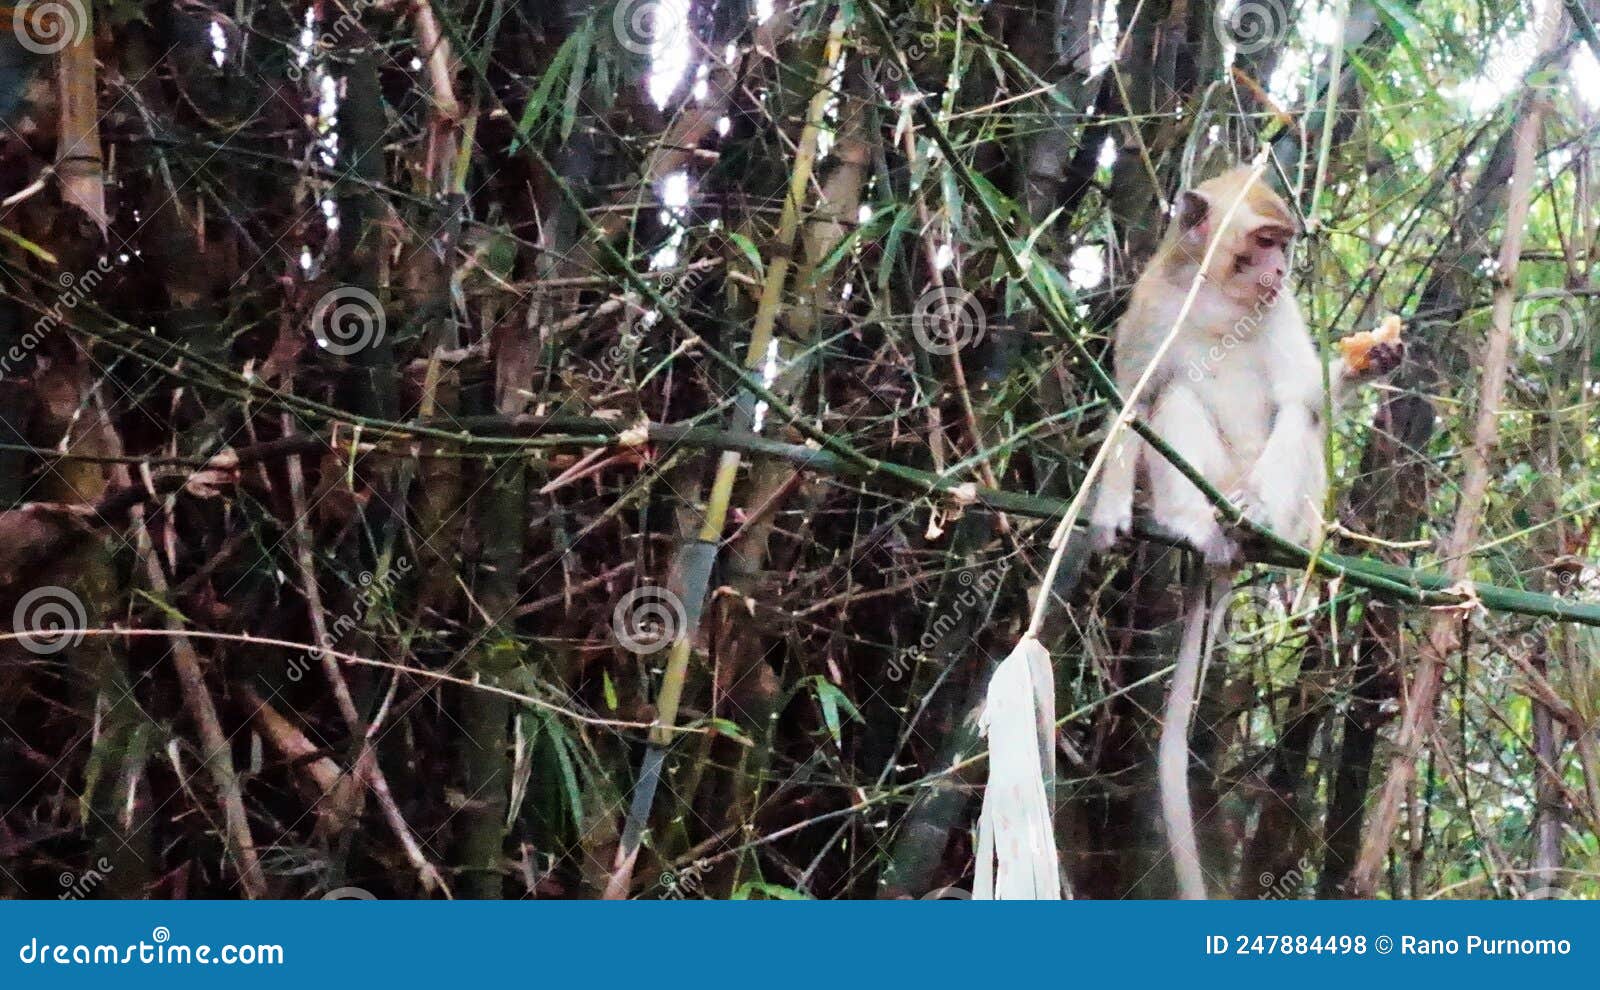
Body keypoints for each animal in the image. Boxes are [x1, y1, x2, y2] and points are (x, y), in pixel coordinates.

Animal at [1086, 167, 1402, 899]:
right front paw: (1110, 512)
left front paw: (1367, 362)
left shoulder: (1281, 313)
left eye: (1282, 243)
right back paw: (1198, 528)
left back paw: (1254, 523)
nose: (1281, 269)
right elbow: (1134, 405)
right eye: (1263, 241)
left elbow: (1303, 401)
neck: (1213, 295)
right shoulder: (1150, 305)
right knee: (1172, 400)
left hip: (1299, 507)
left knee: (1298, 427)